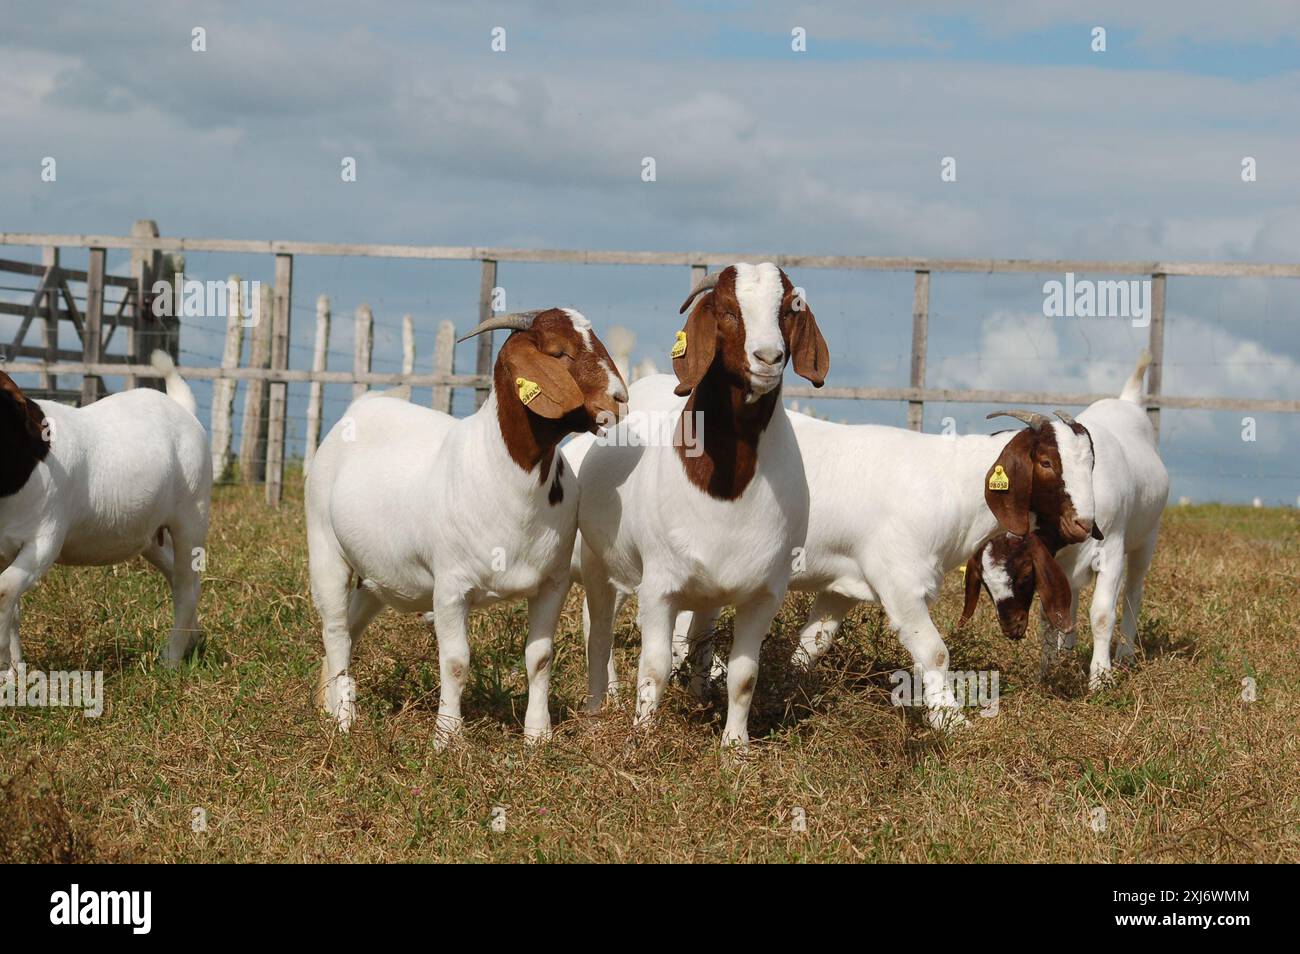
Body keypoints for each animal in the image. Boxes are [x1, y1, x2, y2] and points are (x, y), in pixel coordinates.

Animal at [0, 352, 211, 671]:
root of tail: (182, 409)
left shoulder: (45, 538)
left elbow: (5, 590)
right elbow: (13, 606)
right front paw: (15, 670)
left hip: (191, 516)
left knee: (188, 586)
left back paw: (171, 660)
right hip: (150, 535)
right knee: (175, 575)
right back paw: (192, 639)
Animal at [306, 308, 627, 743]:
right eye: (559, 352)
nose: (620, 399)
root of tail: (360, 409)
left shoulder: (552, 583)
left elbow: (540, 657)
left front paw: (538, 735)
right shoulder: (449, 586)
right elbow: (456, 661)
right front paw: (447, 737)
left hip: (376, 576)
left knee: (351, 628)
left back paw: (328, 706)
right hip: (325, 548)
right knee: (336, 630)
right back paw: (343, 721)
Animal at [576, 262, 829, 748]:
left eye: (790, 309)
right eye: (728, 310)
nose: (768, 358)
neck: (727, 486)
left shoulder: (764, 593)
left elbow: (744, 675)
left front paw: (735, 746)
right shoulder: (658, 585)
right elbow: (653, 668)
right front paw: (643, 738)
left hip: (710, 587)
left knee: (701, 636)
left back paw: (695, 694)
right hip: (600, 563)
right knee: (597, 633)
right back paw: (600, 703)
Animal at [960, 352, 1168, 688]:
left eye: (1023, 575)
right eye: (1045, 462)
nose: (1011, 628)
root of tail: (1125, 401)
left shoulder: (1111, 549)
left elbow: (1102, 614)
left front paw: (1100, 677)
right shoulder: (1052, 557)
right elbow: (1051, 614)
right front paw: (1048, 670)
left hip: (1146, 538)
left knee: (1133, 592)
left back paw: (1125, 654)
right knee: (1073, 597)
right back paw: (1069, 652)